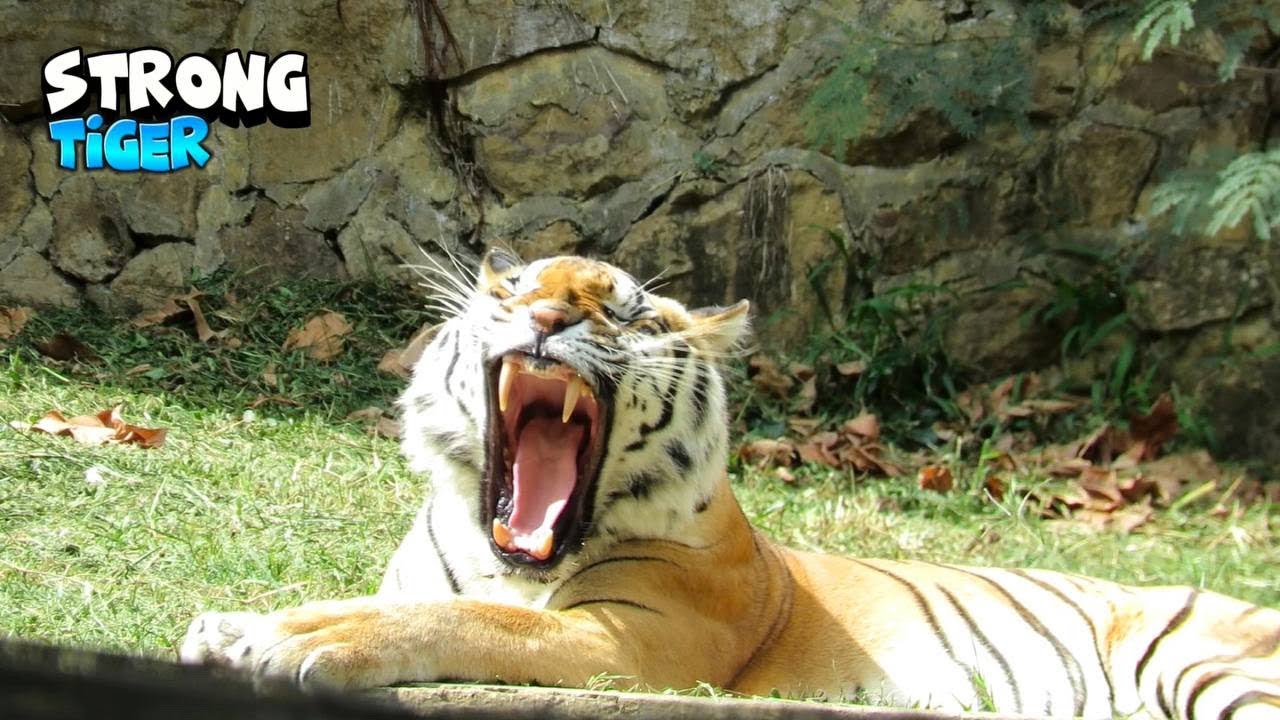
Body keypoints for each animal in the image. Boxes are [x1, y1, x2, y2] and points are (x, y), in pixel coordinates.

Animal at [181, 250, 1280, 719]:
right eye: (514, 284)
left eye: (625, 311)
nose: (545, 314)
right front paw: (239, 626)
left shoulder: (638, 641)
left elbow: (474, 624)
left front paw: (288, 639)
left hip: (1211, 670)